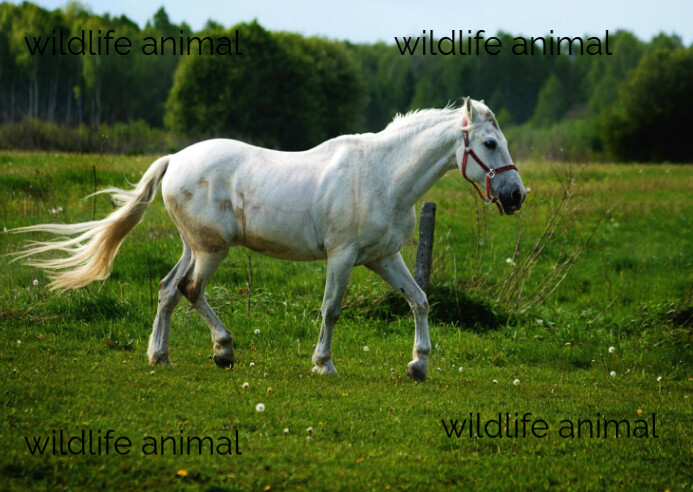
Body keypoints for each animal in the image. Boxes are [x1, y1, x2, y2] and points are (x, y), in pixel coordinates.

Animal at [12, 97, 525, 381]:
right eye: (489, 143)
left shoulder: (384, 258)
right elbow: (331, 309)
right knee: (189, 289)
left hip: (194, 246)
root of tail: (175, 159)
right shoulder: (342, 256)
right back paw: (223, 350)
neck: (382, 175)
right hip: (212, 250)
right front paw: (323, 364)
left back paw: (161, 356)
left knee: (167, 289)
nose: (516, 195)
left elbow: (419, 300)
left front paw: (418, 365)